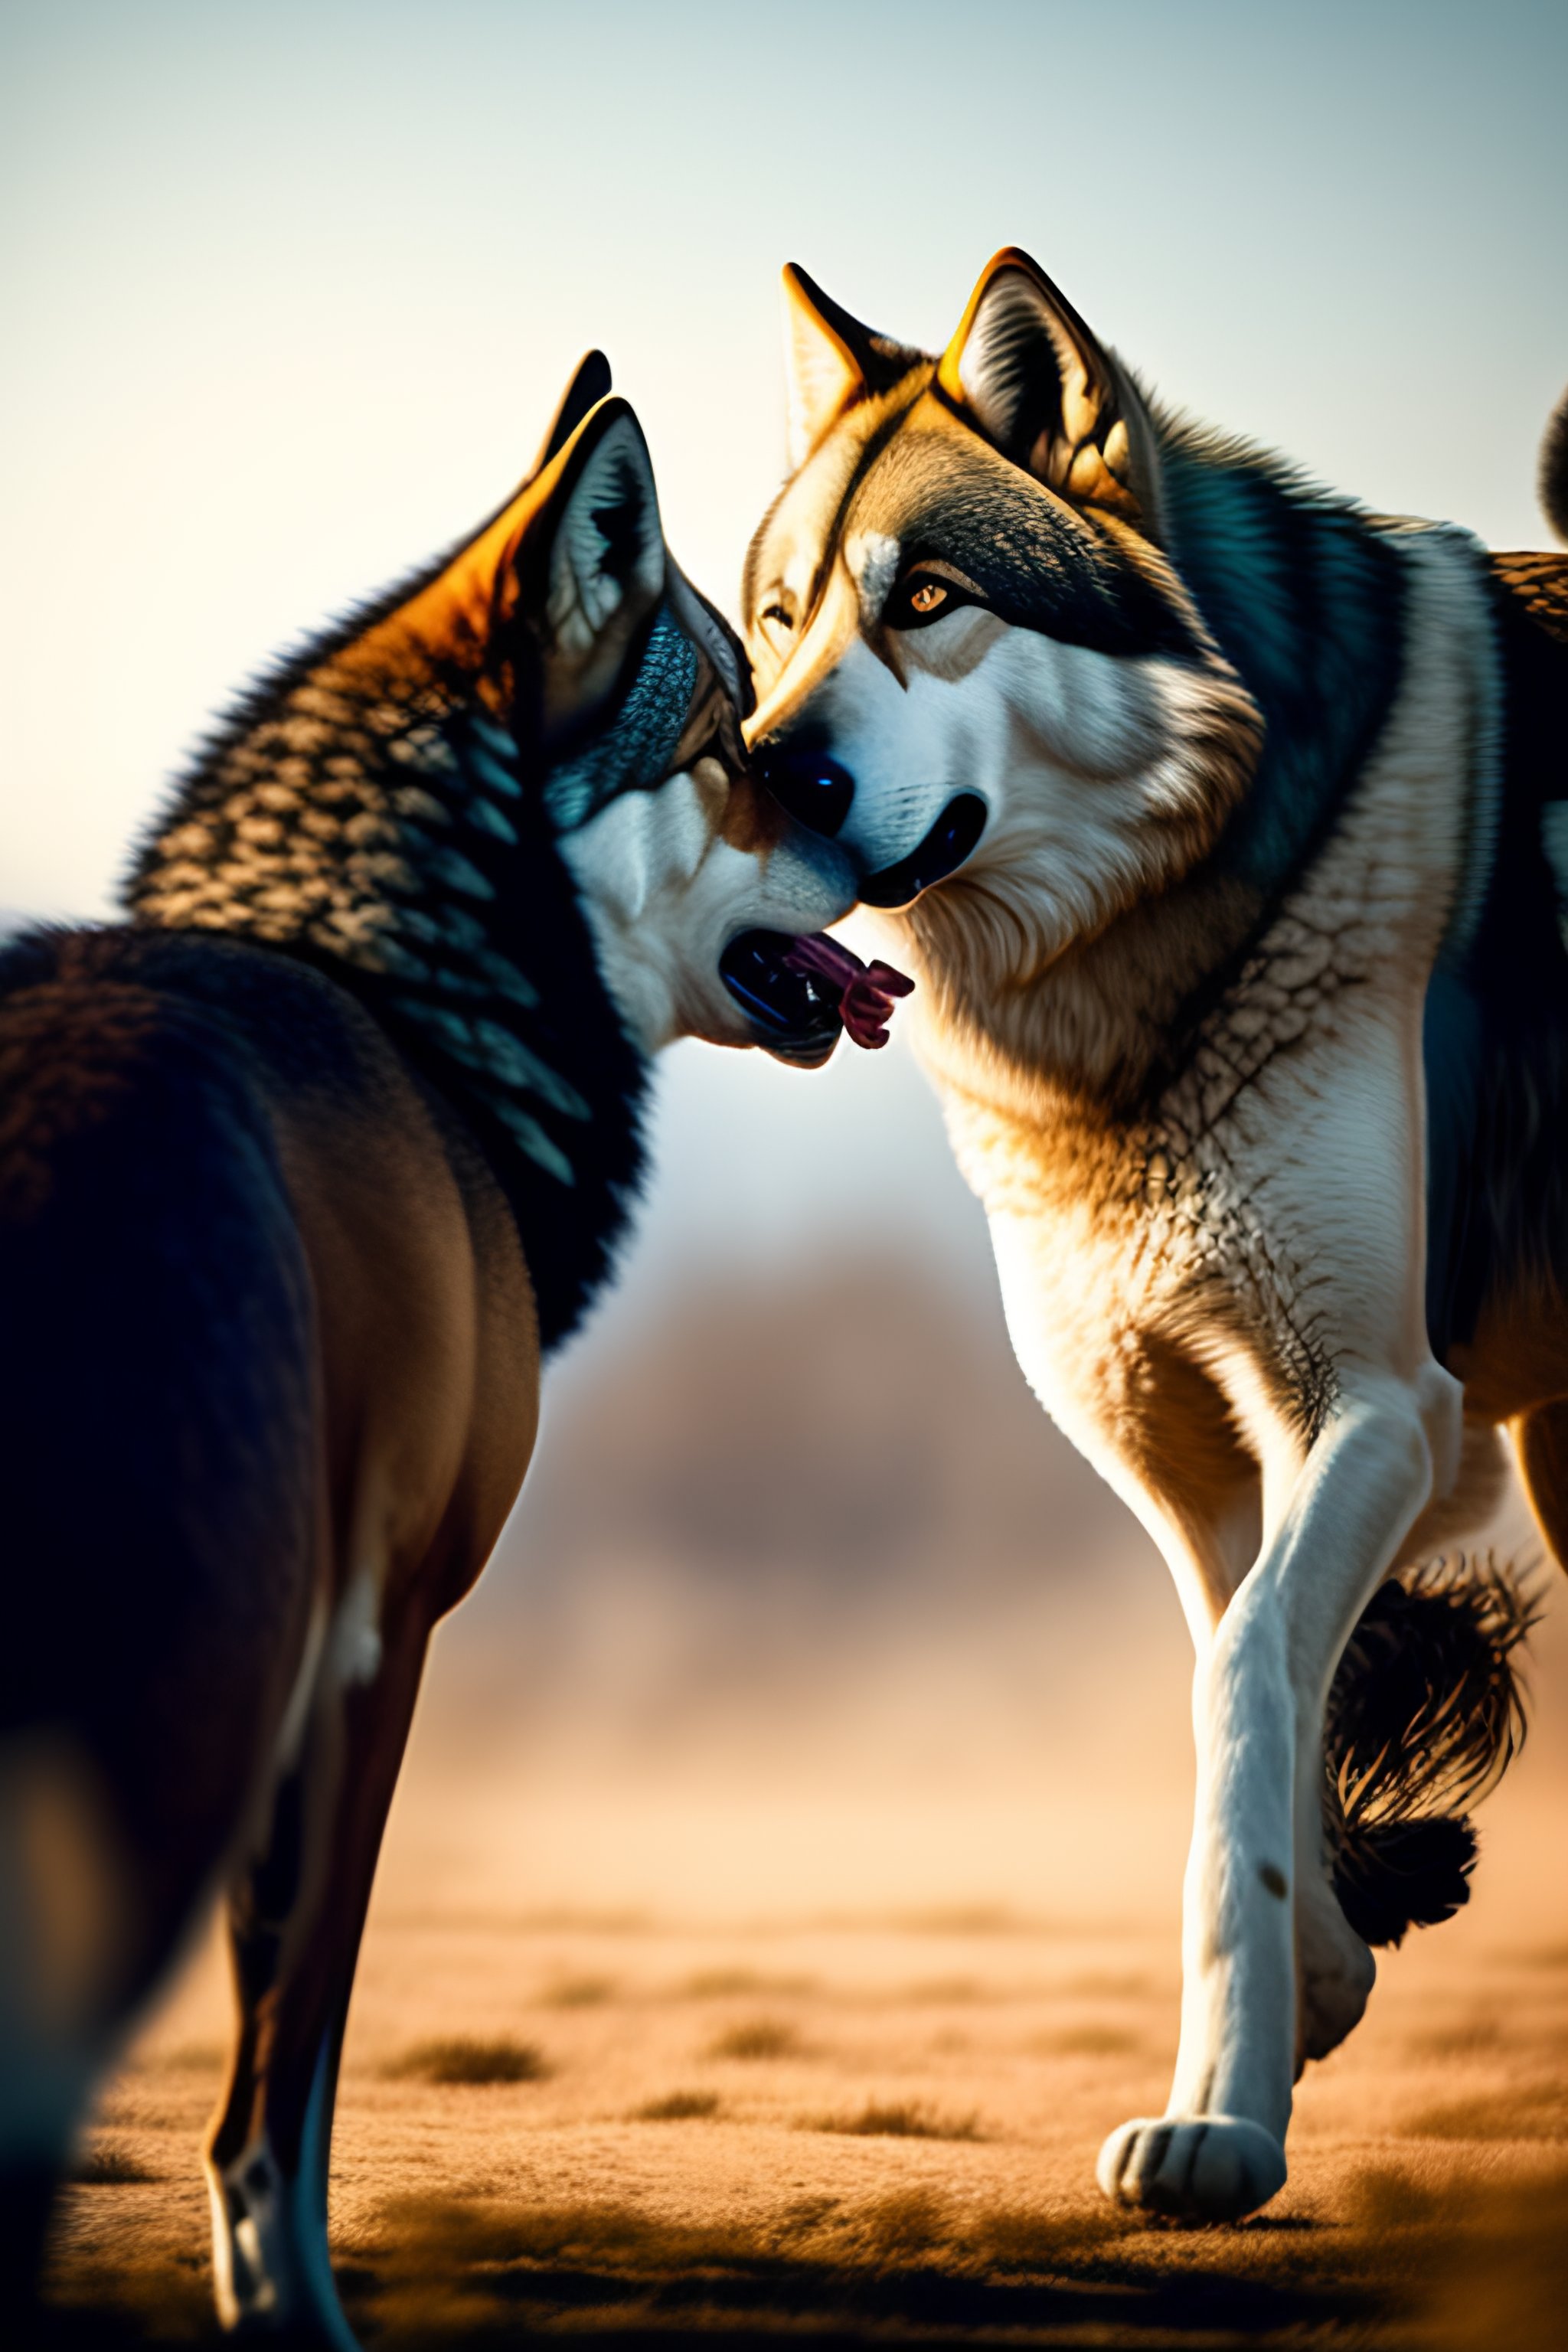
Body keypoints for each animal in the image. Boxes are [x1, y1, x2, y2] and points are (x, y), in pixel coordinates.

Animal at [0, 353, 905, 2340]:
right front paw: (295, 2313)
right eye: (727, 740)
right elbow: (286, 2095)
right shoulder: (375, 1651)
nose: (890, 828)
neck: (412, 1008)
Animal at [742, 249, 1568, 2222]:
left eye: (930, 600)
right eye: (778, 616)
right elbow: (1233, 1678)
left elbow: (1254, 1690)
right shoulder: (1180, 1449)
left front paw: (1224, 2115)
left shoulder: (1380, 1404)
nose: (754, 771)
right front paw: (1327, 1967)